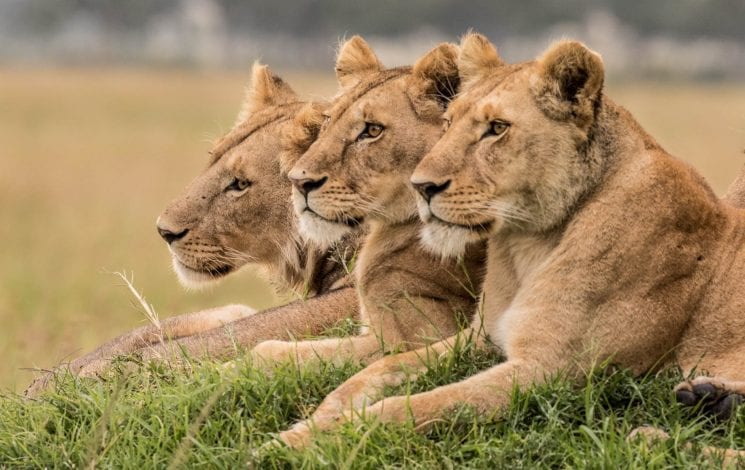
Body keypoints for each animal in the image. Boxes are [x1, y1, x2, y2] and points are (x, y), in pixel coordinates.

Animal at [25, 64, 362, 397]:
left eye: (240, 183)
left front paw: (97, 375)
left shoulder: (347, 301)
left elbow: (238, 334)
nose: (164, 231)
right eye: (212, 158)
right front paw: (54, 378)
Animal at [277, 33, 745, 450]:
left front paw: (315, 440)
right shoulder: (478, 339)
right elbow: (377, 371)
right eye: (449, 123)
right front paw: (314, 422)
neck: (529, 245)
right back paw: (710, 401)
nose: (422, 186)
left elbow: (423, 405)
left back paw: (666, 434)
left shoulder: (554, 371)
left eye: (497, 128)